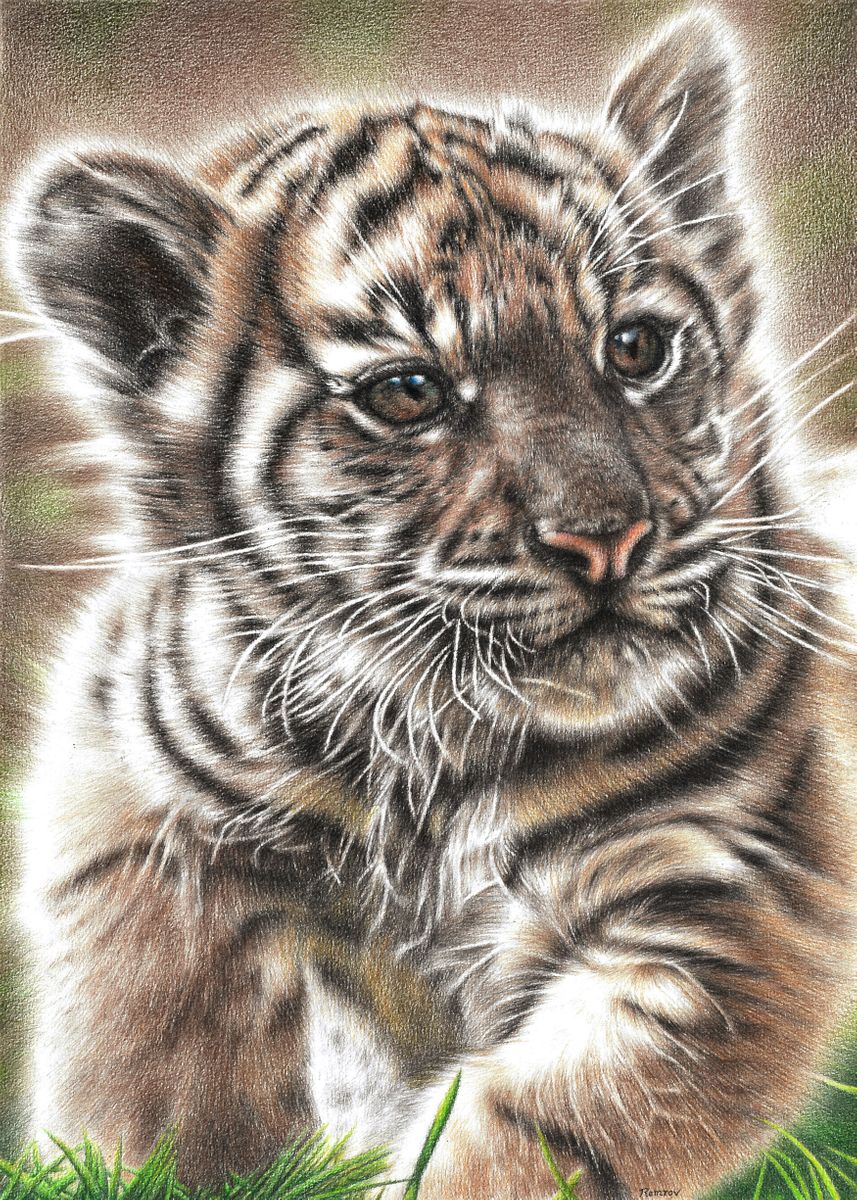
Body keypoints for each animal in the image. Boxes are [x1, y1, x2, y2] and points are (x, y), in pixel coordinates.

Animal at [8, 8, 856, 1199]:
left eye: (635, 348)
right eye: (407, 393)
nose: (607, 539)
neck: (435, 748)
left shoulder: (719, 885)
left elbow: (545, 1125)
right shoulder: (138, 815)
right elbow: (156, 1048)